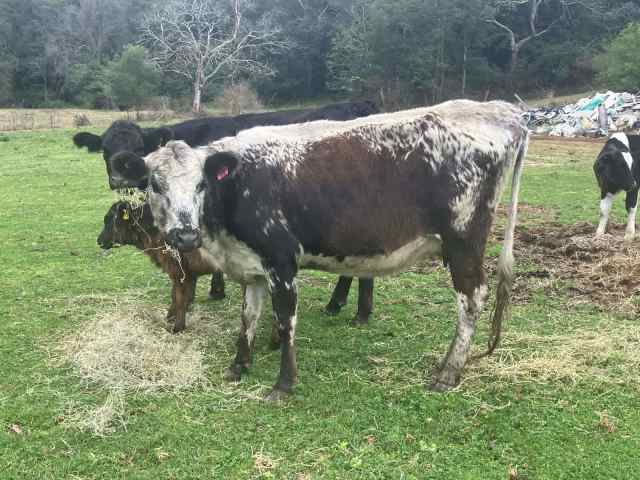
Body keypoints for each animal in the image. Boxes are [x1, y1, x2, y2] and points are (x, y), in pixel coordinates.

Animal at [108, 99, 528, 400]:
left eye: (201, 185)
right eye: (155, 184)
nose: (184, 237)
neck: (239, 188)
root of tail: (500, 111)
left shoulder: (281, 262)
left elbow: (285, 321)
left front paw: (283, 384)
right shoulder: (253, 268)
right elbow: (248, 317)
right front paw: (238, 366)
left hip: (463, 242)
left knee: (472, 298)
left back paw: (448, 372)